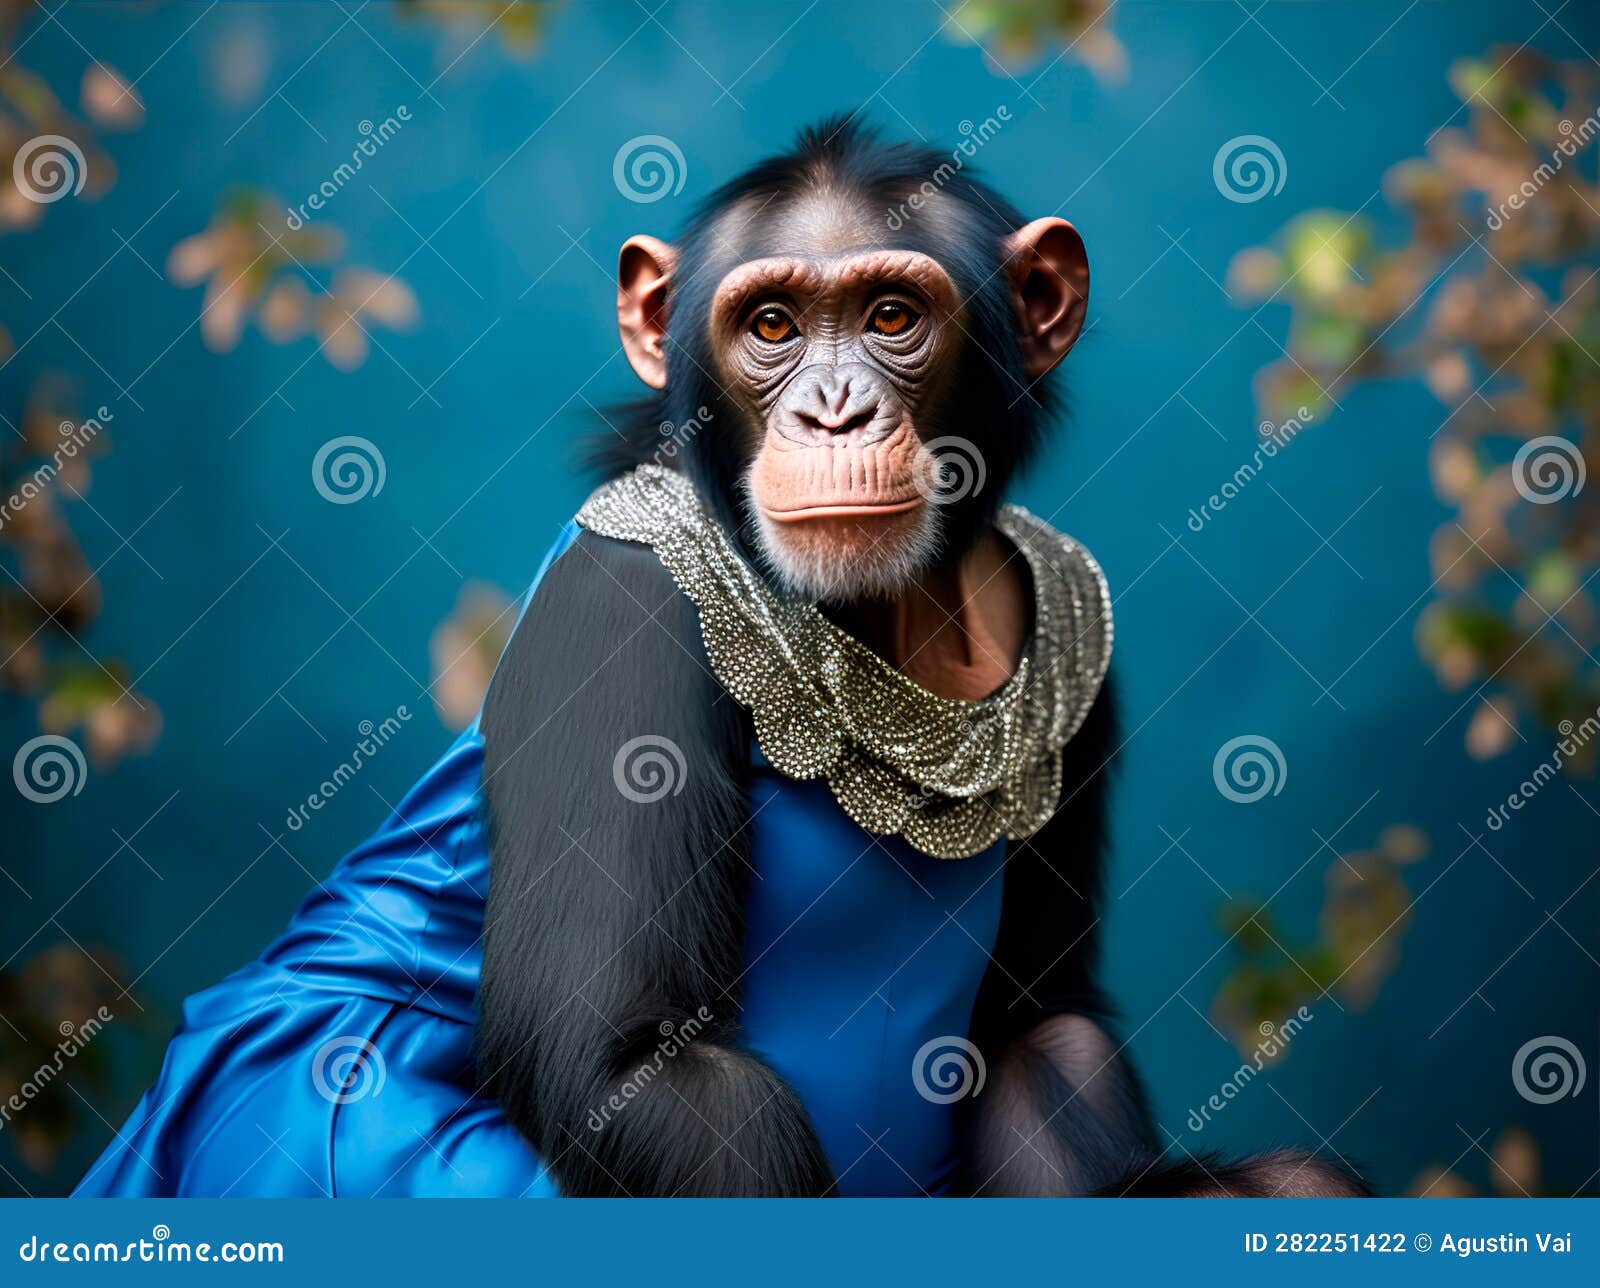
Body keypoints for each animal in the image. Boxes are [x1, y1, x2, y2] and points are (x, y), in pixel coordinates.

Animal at [75, 119, 1366, 1199]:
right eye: (774, 327)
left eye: (891, 317)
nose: (834, 410)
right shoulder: (619, 615)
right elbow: (648, 1072)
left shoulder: (1076, 640)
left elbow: (1037, 1023)